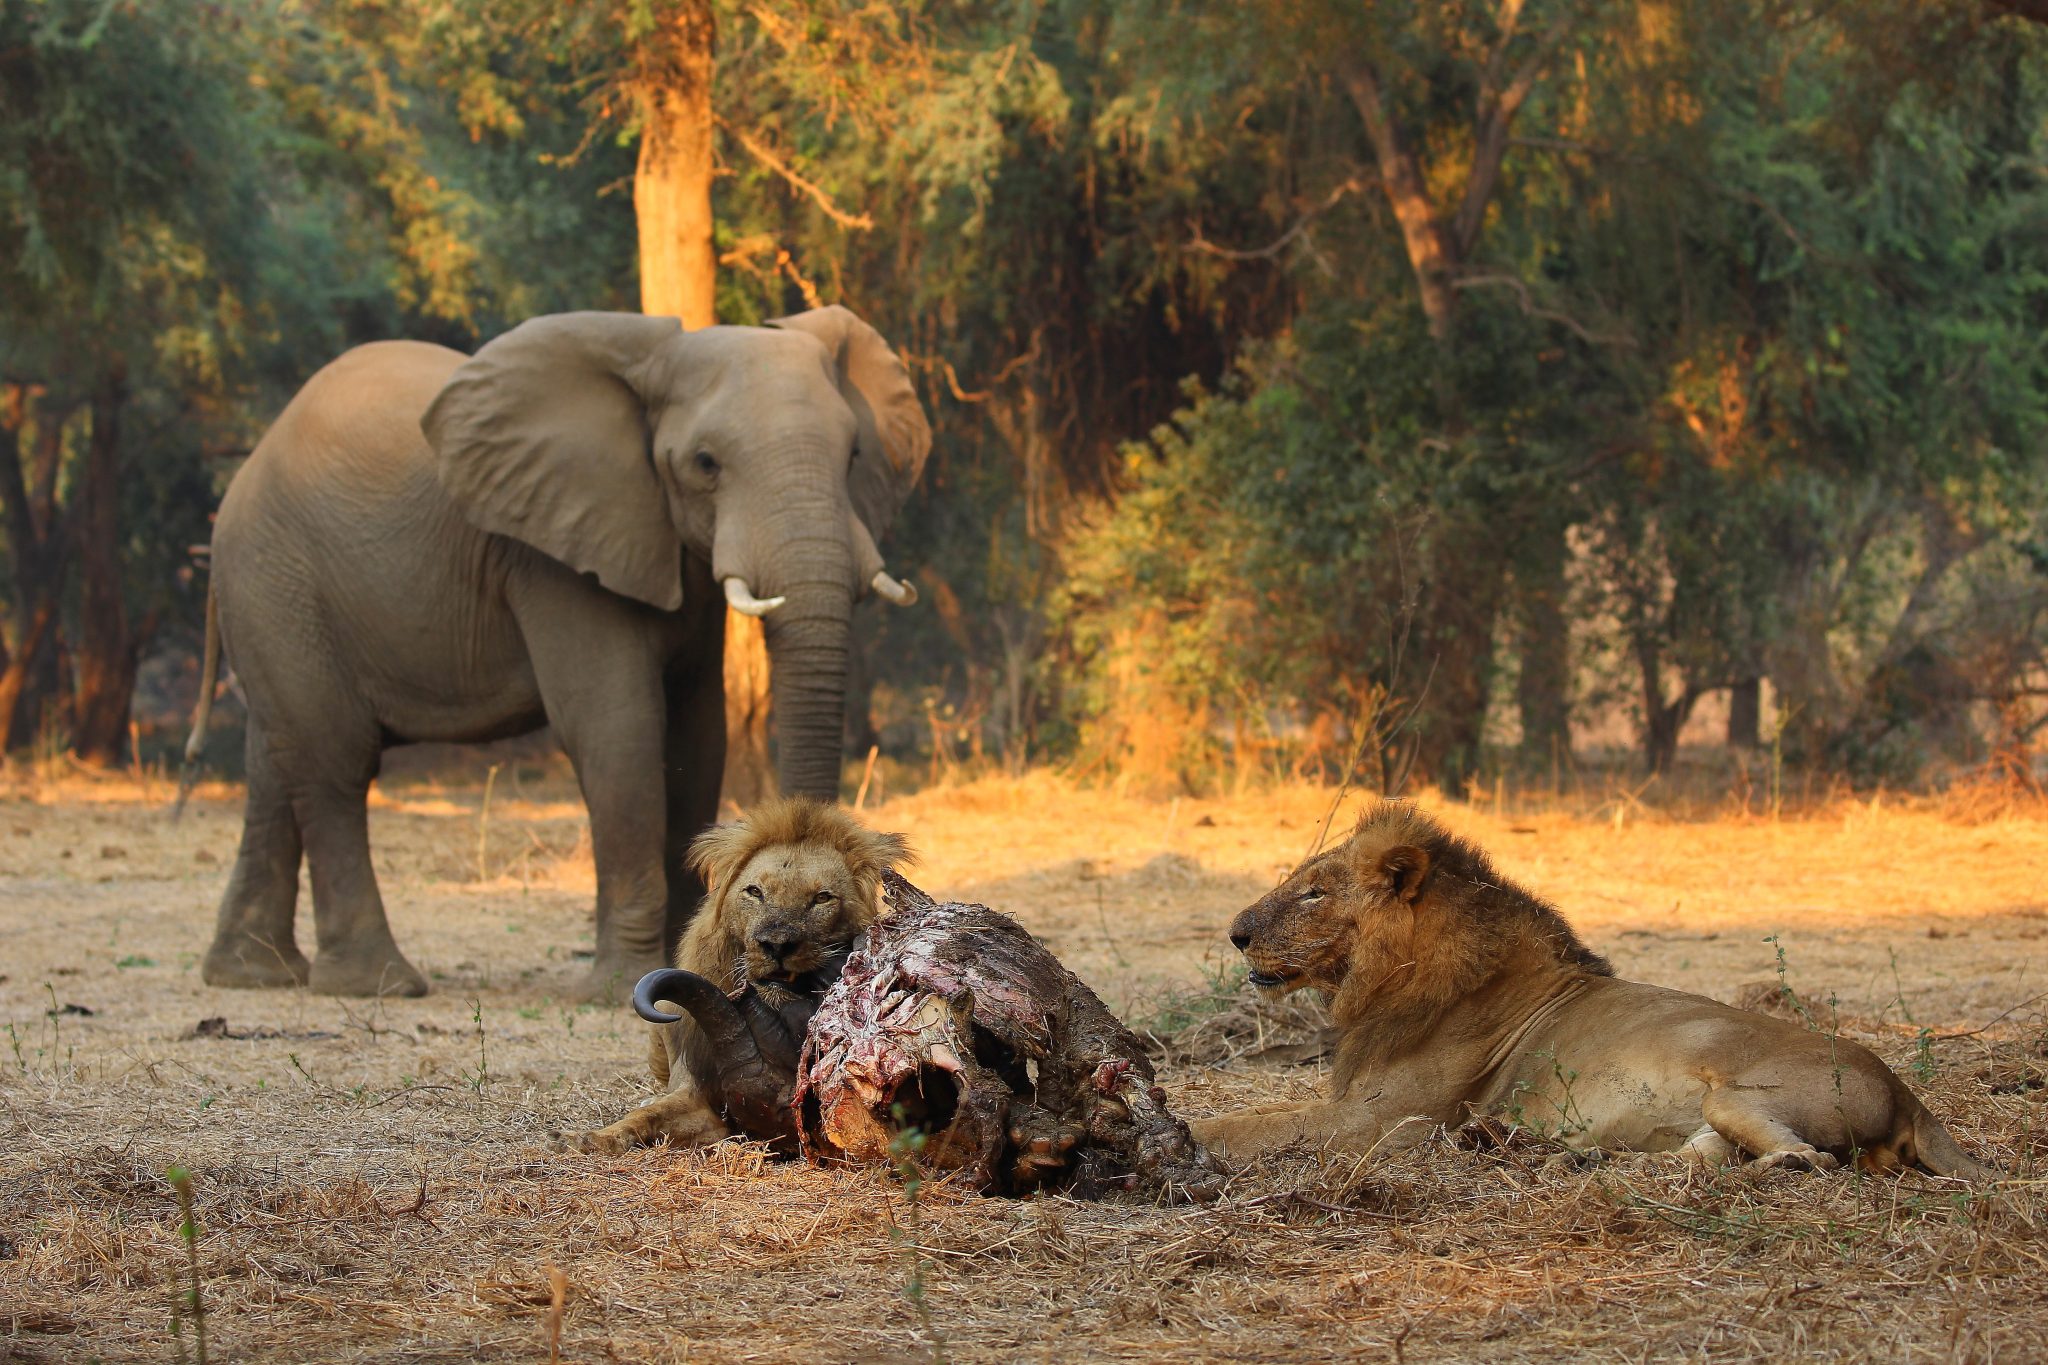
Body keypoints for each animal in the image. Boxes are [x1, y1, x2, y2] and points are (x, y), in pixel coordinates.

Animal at [186, 307, 929, 1000]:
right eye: (704, 463)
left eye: (854, 456)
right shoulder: (557, 558)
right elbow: (618, 729)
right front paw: (624, 983)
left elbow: (696, 735)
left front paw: (687, 964)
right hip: (275, 579)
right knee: (333, 762)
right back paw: (379, 984)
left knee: (275, 759)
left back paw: (253, 974)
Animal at [575, 797, 912, 1152]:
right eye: (755, 892)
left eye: (822, 898)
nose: (776, 944)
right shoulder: (694, 1085)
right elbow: (648, 1114)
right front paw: (592, 1138)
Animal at [1190, 803, 1995, 1179]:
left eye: (1314, 892)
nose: (1234, 932)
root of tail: (1910, 1096)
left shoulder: (1391, 1123)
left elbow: (1251, 1125)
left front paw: (1187, 1128)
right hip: (1713, 1116)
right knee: (1706, 1156)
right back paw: (1545, 1151)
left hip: (1736, 1093)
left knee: (1801, 1160)